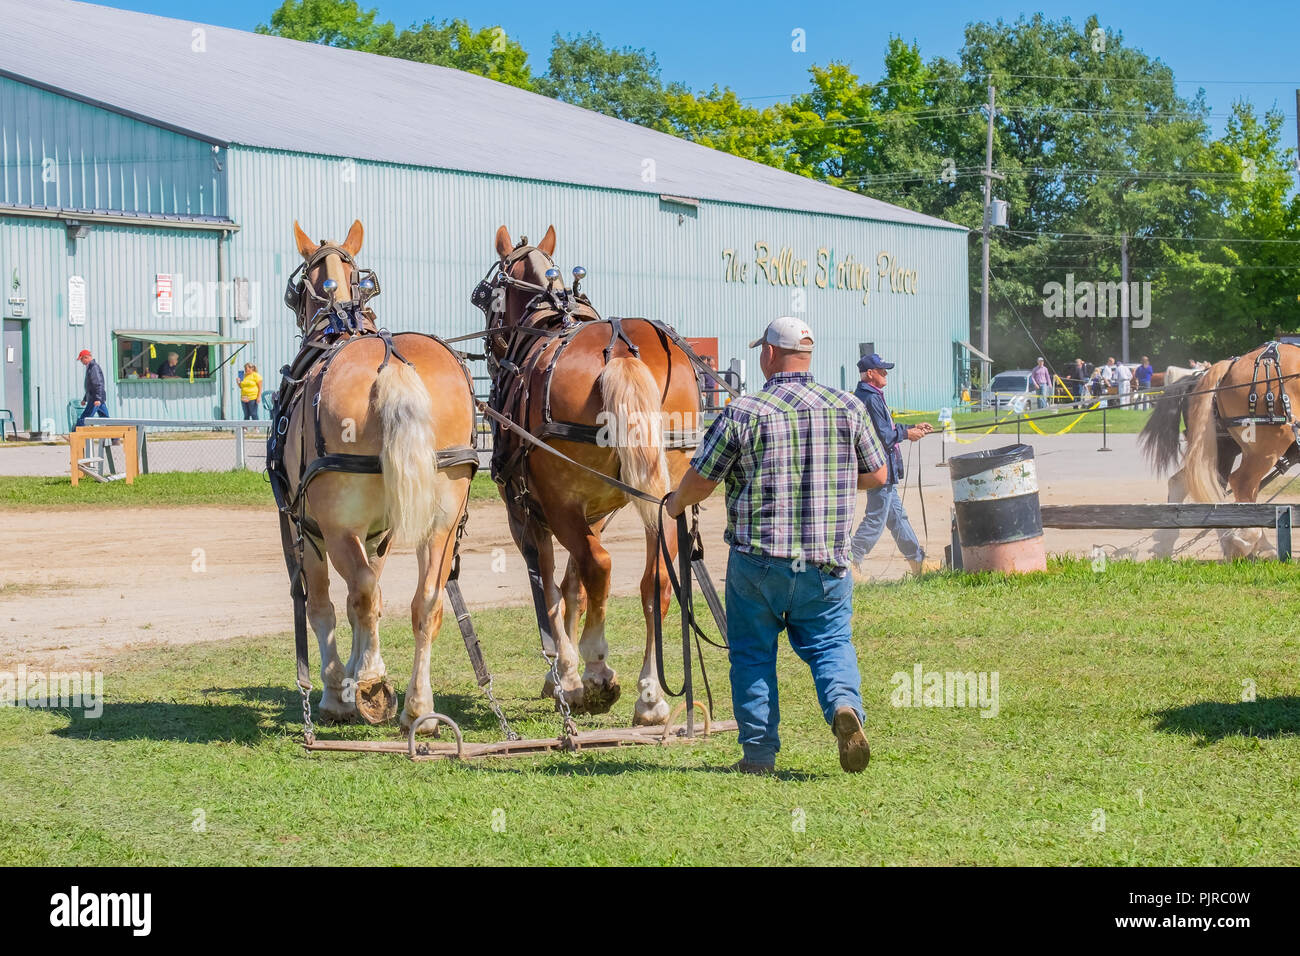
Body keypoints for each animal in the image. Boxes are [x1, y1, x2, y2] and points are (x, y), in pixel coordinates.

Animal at [270, 220, 478, 735]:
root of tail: (393, 362)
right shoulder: (377, 533)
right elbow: (374, 598)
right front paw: (360, 672)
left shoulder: (304, 528)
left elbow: (326, 606)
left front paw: (339, 688)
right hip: (443, 517)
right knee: (426, 601)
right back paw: (417, 708)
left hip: (335, 524)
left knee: (357, 592)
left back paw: (364, 689)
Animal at [480, 224, 705, 725]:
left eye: (487, 296)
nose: (492, 352)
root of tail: (620, 348)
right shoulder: (597, 511)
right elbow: (573, 587)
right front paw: (565, 675)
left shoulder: (527, 513)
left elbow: (549, 587)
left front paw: (565, 674)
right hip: (666, 496)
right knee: (655, 581)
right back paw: (650, 696)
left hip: (560, 501)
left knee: (599, 565)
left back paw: (598, 670)